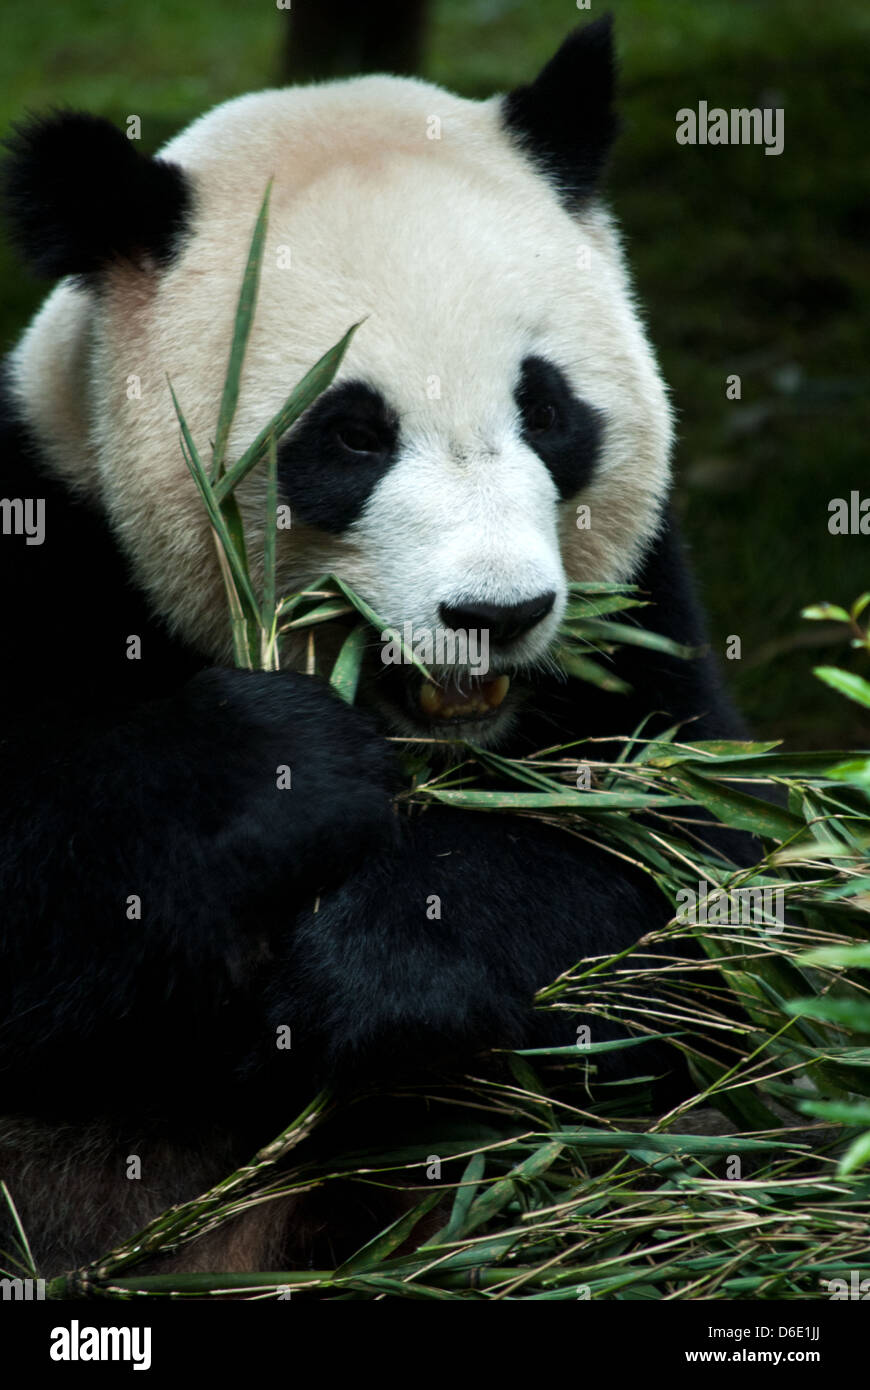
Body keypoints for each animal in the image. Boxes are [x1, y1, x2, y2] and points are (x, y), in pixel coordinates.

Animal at [0, 18, 748, 1280]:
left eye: (545, 408)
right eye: (352, 434)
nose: (496, 612)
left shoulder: (639, 616)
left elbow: (687, 895)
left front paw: (382, 967)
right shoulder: (47, 528)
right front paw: (275, 771)